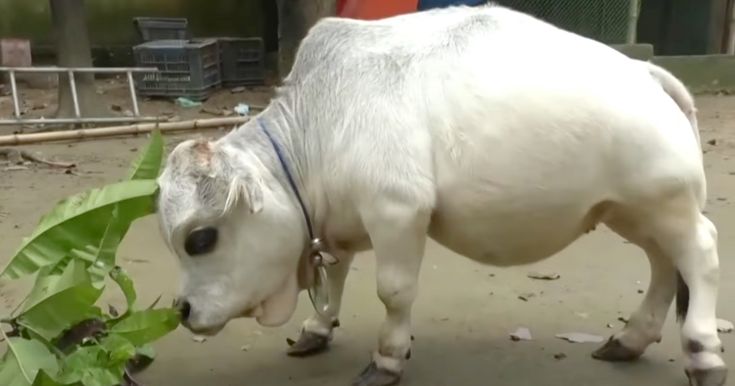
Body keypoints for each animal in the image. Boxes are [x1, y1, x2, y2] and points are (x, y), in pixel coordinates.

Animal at [158, 3, 728, 386]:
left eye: (200, 239)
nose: (182, 311)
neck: (321, 122)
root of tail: (646, 72)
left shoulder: (397, 211)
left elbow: (393, 292)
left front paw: (387, 358)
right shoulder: (339, 223)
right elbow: (335, 277)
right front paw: (318, 329)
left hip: (667, 204)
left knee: (699, 255)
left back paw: (703, 351)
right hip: (631, 211)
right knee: (663, 264)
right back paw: (630, 339)